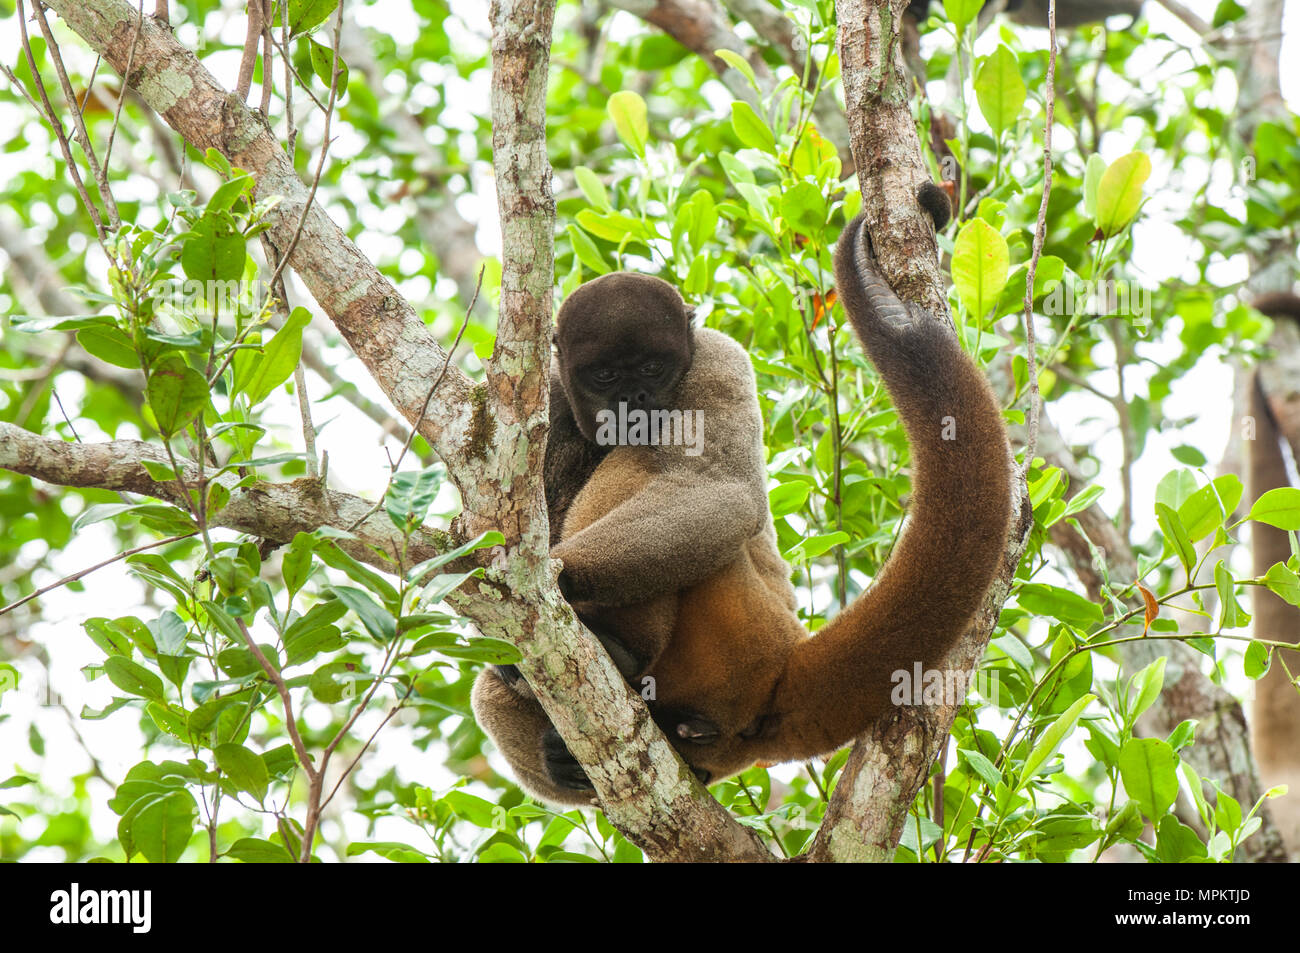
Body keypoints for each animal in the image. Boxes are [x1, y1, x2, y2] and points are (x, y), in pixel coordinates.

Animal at [472, 200, 1012, 806]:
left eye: (654, 368)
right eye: (605, 375)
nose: (635, 400)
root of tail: (786, 663)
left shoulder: (716, 355)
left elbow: (724, 490)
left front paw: (555, 578)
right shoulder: (552, 394)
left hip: (742, 640)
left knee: (650, 465)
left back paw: (623, 650)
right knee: (488, 690)